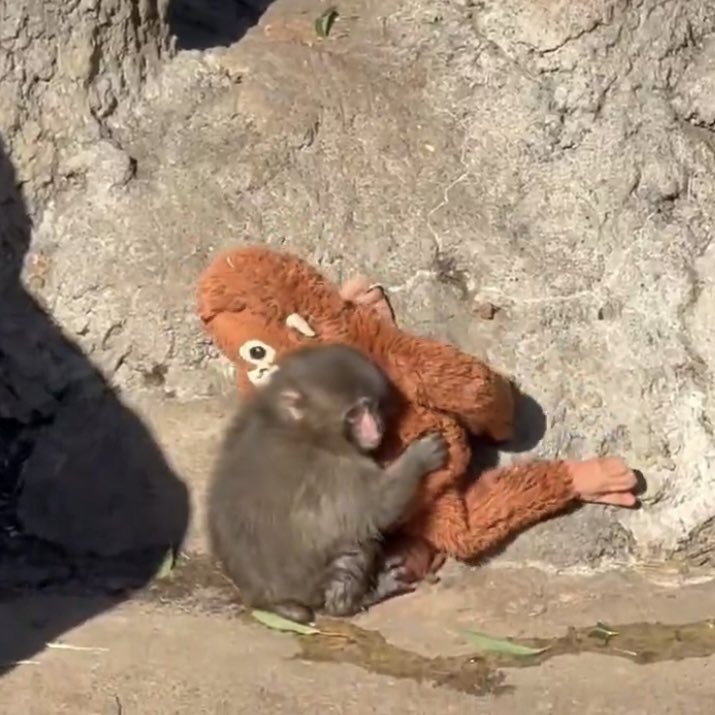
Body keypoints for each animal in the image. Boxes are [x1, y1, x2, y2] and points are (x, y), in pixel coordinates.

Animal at [207, 343, 448, 624]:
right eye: (354, 414)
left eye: (372, 407)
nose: (375, 428)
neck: (297, 427)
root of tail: (263, 599)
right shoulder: (334, 468)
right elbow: (378, 506)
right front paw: (420, 456)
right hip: (311, 584)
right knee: (354, 545)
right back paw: (354, 601)